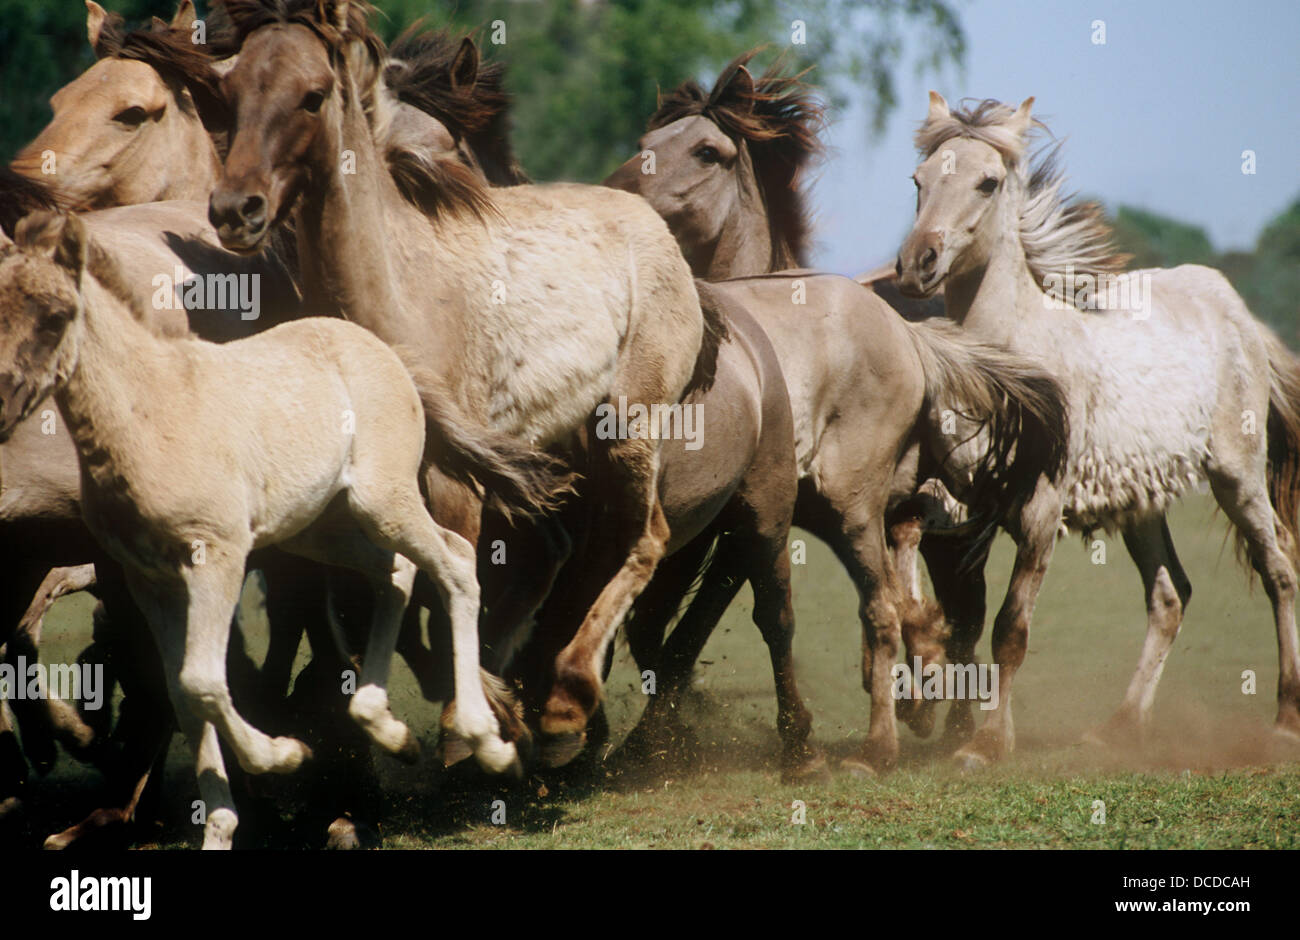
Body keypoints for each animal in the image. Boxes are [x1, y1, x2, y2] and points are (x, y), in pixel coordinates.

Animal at [895, 92, 1300, 766]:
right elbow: (908, 540)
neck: (1013, 364)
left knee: (1279, 573)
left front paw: (988, 744)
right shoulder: (965, 496)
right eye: (919, 180)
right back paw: (1118, 727)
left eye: (988, 181)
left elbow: (1011, 626)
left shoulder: (1039, 507)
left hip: (1237, 476)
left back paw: (1285, 720)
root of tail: (1233, 308)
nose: (916, 262)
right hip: (1141, 501)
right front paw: (919, 690)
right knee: (1169, 597)